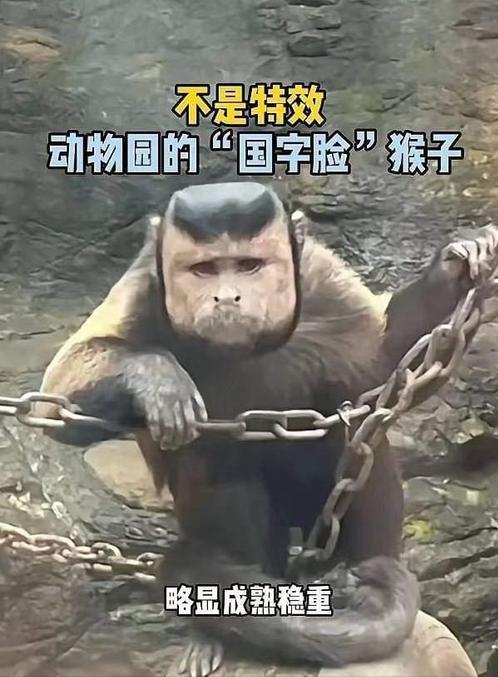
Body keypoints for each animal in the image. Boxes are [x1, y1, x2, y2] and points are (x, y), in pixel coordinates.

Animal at [38, 182, 498, 676]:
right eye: (204, 270)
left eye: (248, 266)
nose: (226, 297)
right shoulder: (142, 286)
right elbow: (57, 409)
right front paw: (155, 376)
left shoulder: (321, 281)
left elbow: (385, 366)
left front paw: (453, 269)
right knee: (222, 463)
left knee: (358, 446)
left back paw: (363, 578)